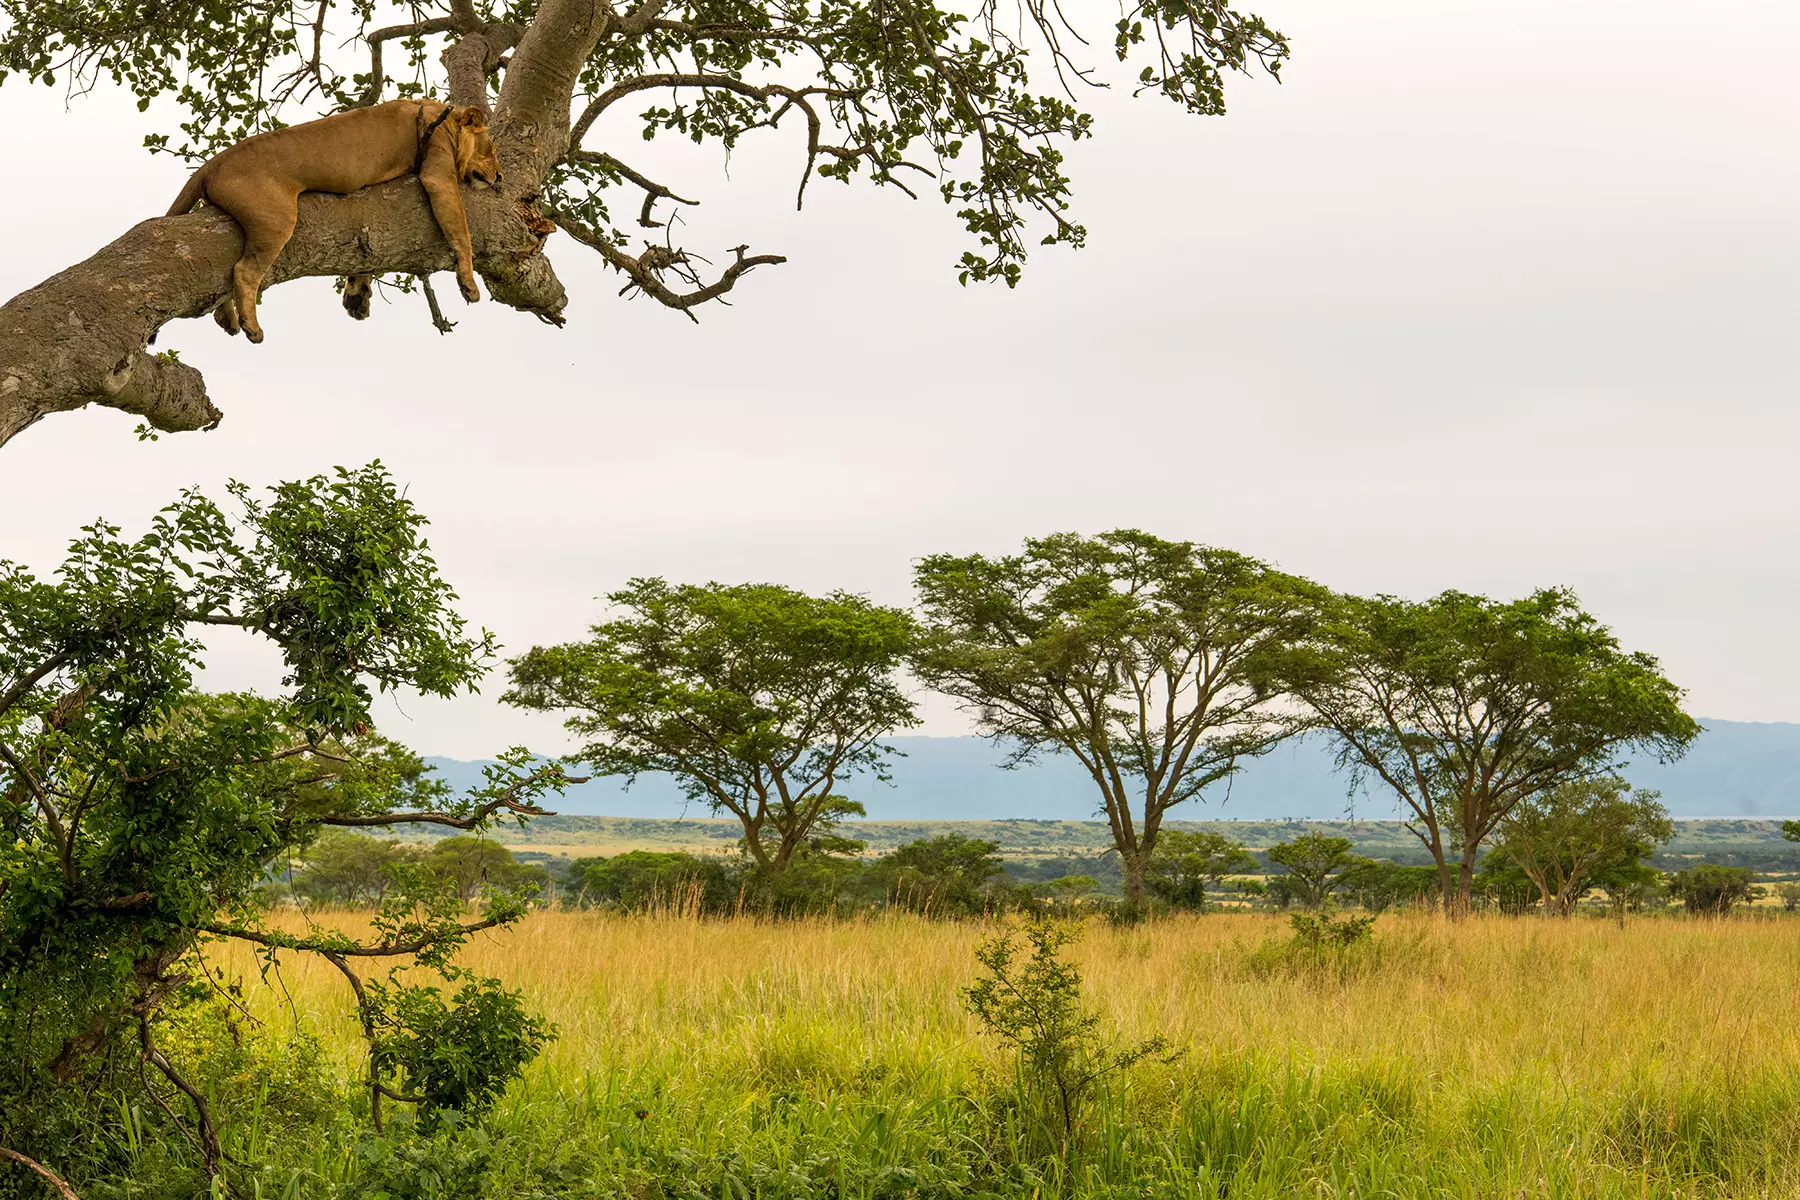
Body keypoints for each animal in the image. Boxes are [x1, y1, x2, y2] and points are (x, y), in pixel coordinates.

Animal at [165, 98, 504, 341]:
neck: (440, 115)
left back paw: (228, 319)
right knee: (244, 271)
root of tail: (210, 164)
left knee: (222, 276)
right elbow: (462, 231)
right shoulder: (437, 172)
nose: (501, 176)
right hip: (276, 218)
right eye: (491, 147)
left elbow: (370, 253)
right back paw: (251, 327)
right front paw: (468, 283)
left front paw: (358, 296)